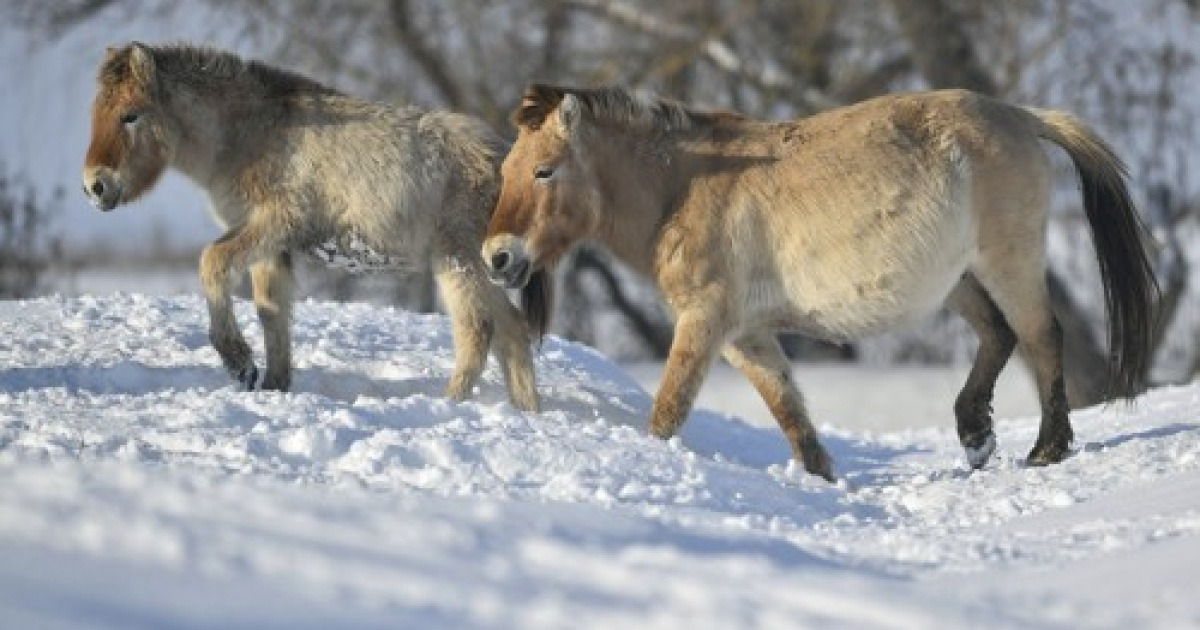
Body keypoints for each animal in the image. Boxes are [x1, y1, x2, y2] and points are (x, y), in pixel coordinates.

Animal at [82, 42, 549, 411]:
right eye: (98, 114)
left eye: (130, 115)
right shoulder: (269, 247)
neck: (249, 133)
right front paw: (273, 384)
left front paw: (238, 361)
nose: (95, 185)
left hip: (457, 262)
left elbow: (212, 262)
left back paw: (448, 404)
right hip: (483, 269)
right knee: (512, 330)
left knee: (476, 331)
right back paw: (525, 411)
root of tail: (505, 161)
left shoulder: (272, 225)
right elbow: (271, 312)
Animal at [482, 84, 1159, 480]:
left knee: (1041, 337)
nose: (498, 258)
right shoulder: (744, 335)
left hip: (1006, 261)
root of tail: (1021, 115)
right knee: (1000, 336)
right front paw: (822, 482)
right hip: (959, 279)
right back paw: (975, 437)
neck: (686, 185)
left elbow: (669, 409)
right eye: (508, 169)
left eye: (544, 171)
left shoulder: (704, 322)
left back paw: (1047, 449)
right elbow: (789, 411)